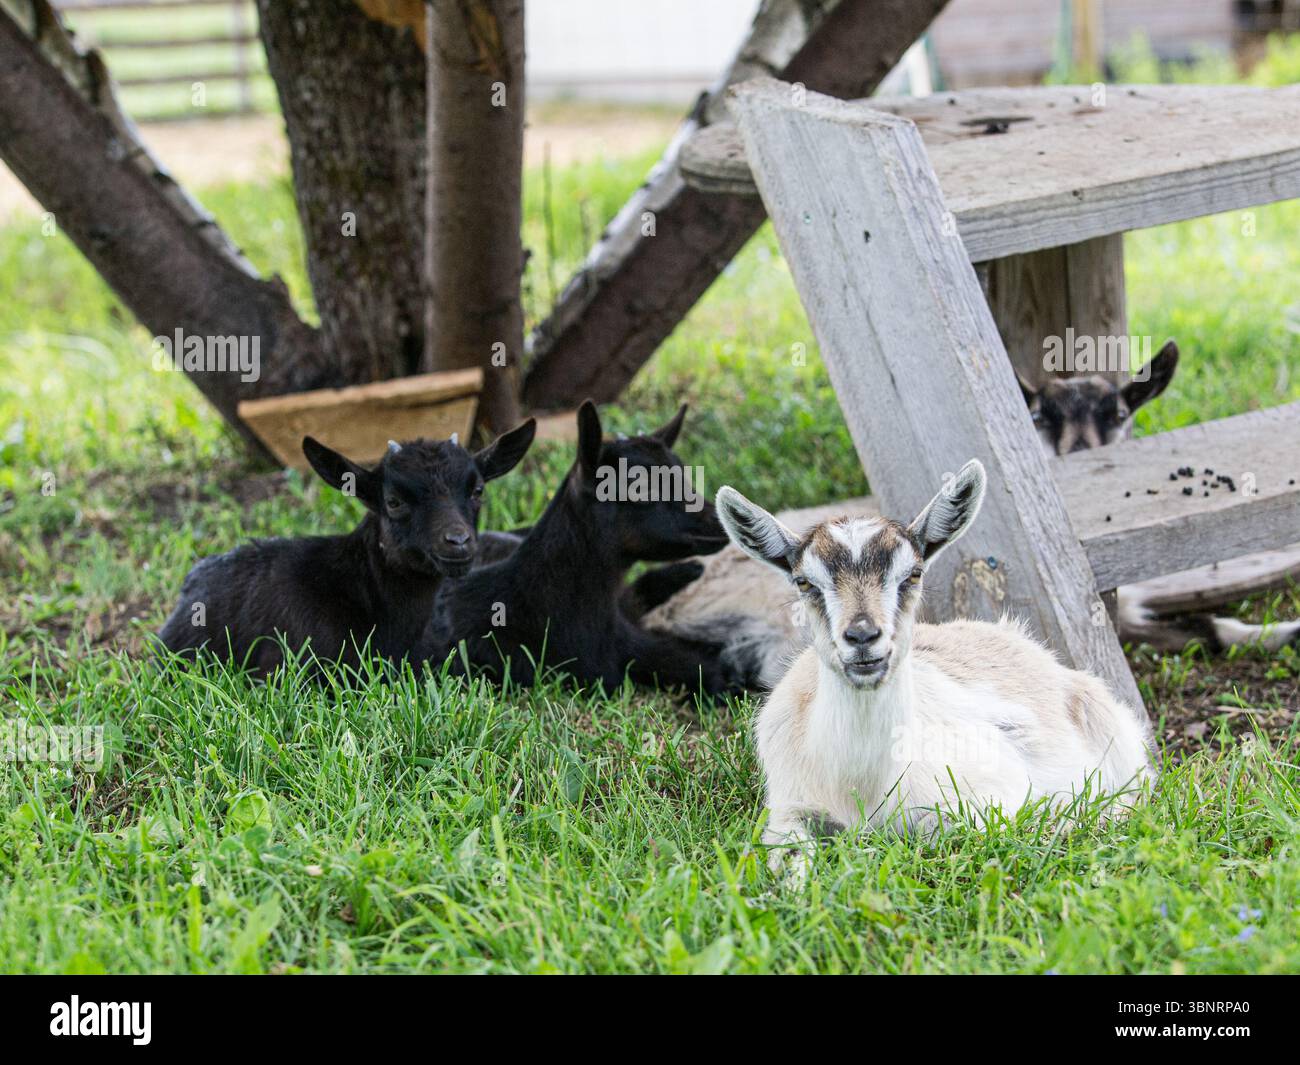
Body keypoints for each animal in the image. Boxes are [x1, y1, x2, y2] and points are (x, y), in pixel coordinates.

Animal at [716, 462, 1155, 872]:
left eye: (913, 573)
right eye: (804, 582)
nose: (863, 636)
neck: (863, 789)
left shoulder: (991, 795)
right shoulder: (788, 809)